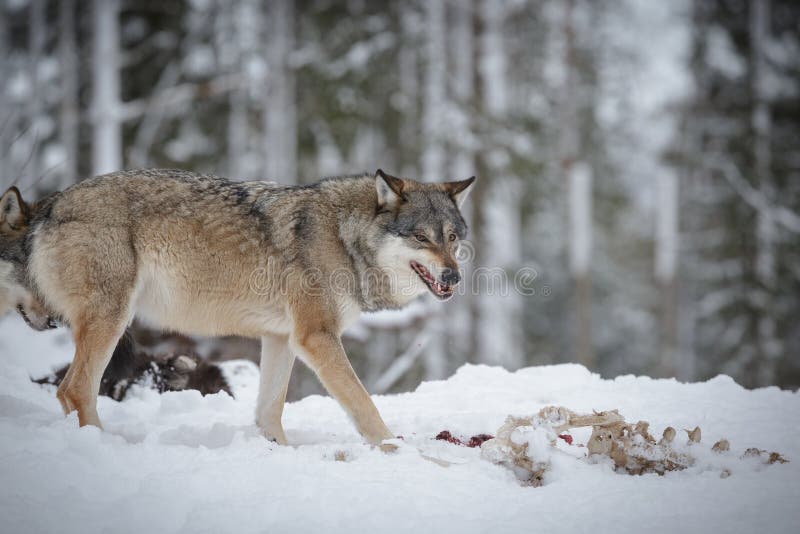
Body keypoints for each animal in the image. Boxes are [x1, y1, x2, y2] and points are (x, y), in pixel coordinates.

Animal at [23, 168, 474, 447]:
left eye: (452, 238)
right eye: (420, 237)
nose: (453, 277)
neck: (344, 239)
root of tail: (52, 203)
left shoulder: (281, 338)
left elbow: (269, 413)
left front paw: (278, 452)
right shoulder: (316, 337)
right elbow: (365, 406)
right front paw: (394, 448)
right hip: (112, 322)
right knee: (75, 389)